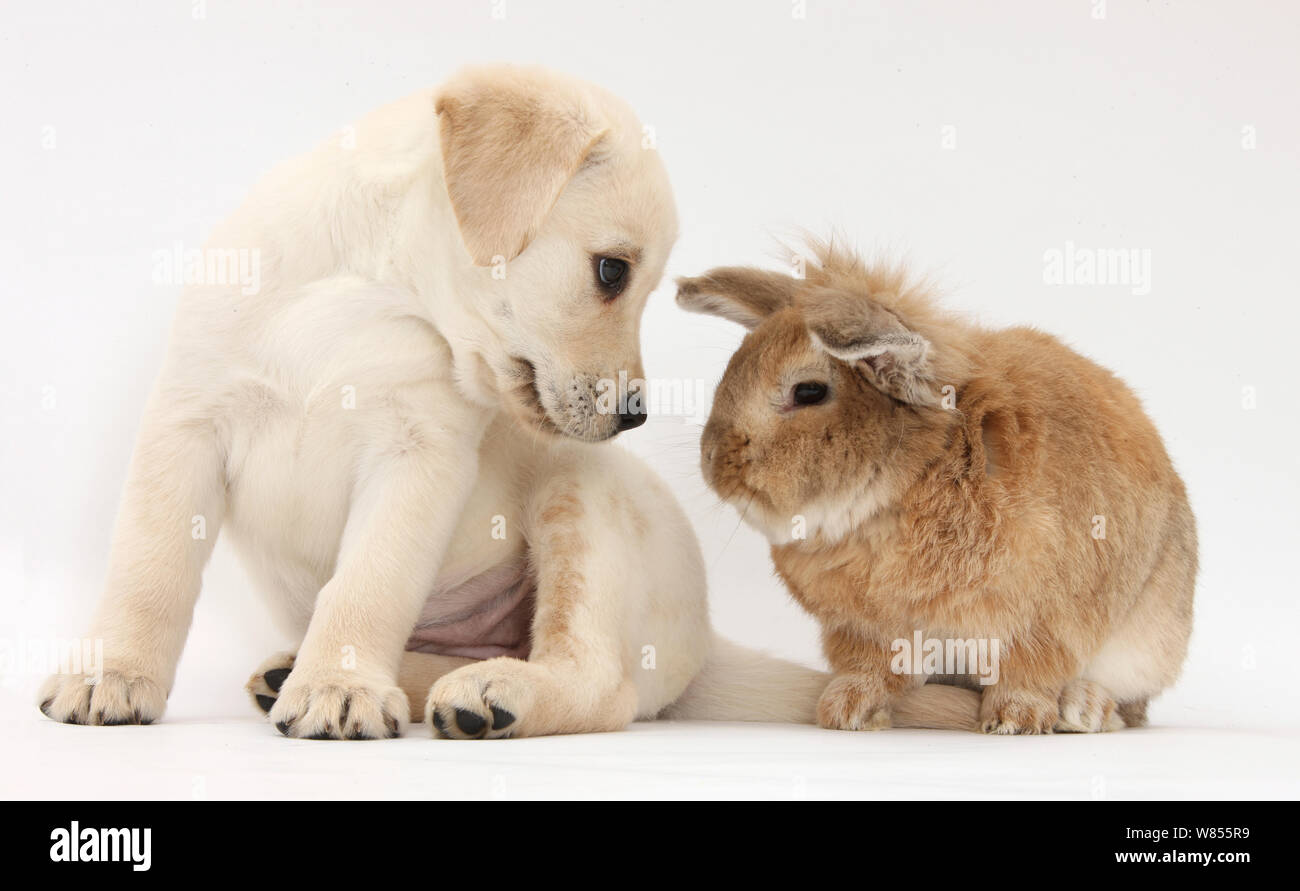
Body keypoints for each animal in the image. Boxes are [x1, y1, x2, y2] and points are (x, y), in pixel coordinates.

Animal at [676, 241, 1196, 734]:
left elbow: (1029, 671)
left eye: (809, 392)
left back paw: (1083, 710)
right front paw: (847, 712)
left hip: (1144, 644)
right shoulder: (864, 630)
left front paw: (1014, 720)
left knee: (1127, 703)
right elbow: (870, 670)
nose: (711, 460)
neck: (909, 481)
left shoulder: (1046, 620)